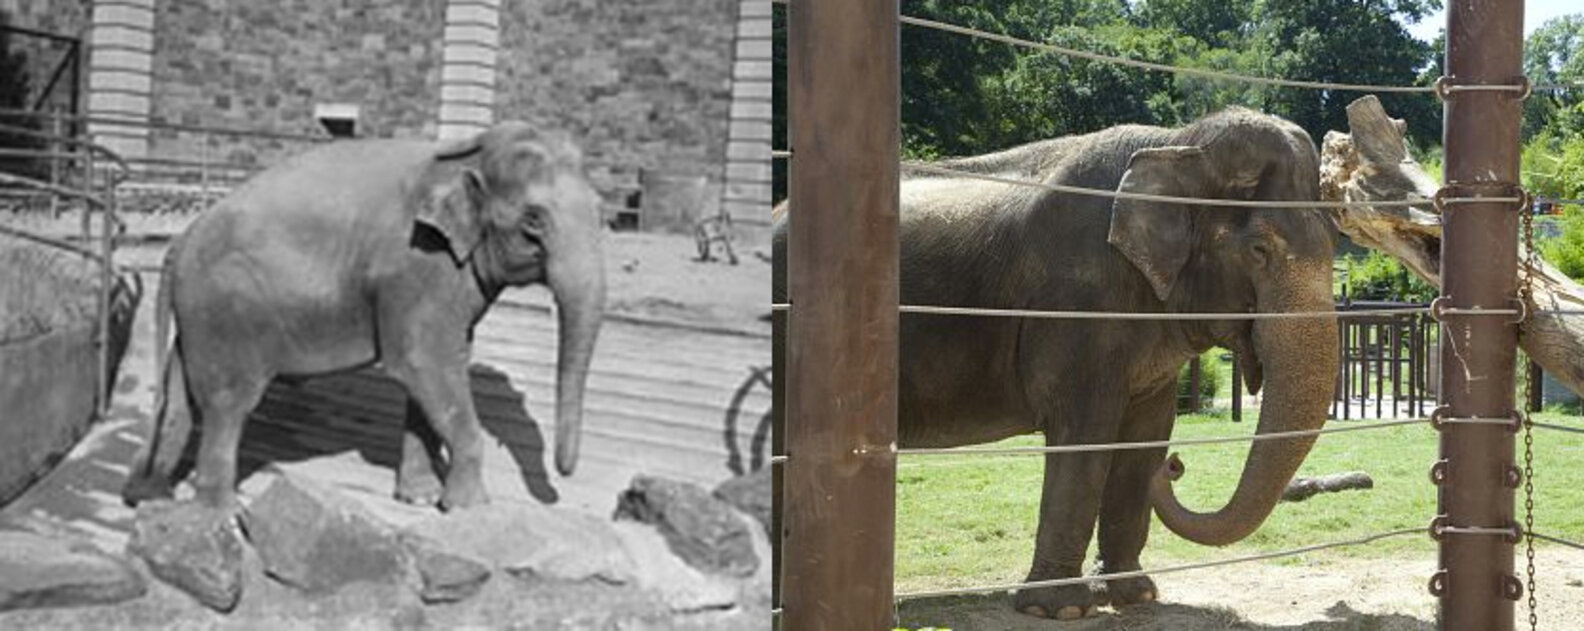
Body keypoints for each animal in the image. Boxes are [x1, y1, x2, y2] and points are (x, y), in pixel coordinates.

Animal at [121, 121, 606, 513]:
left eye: (603, 212)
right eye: (534, 221)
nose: (561, 481)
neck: (466, 154)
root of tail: (179, 242)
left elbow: (435, 370)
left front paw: (421, 499)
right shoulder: (415, 266)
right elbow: (424, 364)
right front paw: (469, 508)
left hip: (198, 318)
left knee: (179, 401)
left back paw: (151, 496)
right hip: (225, 310)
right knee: (227, 404)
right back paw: (222, 515)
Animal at [771, 107, 1339, 619]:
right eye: (1260, 250)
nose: (1176, 467)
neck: (1175, 140)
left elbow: (1145, 434)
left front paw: (1137, 596)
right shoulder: (1075, 302)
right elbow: (1085, 432)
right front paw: (1061, 609)